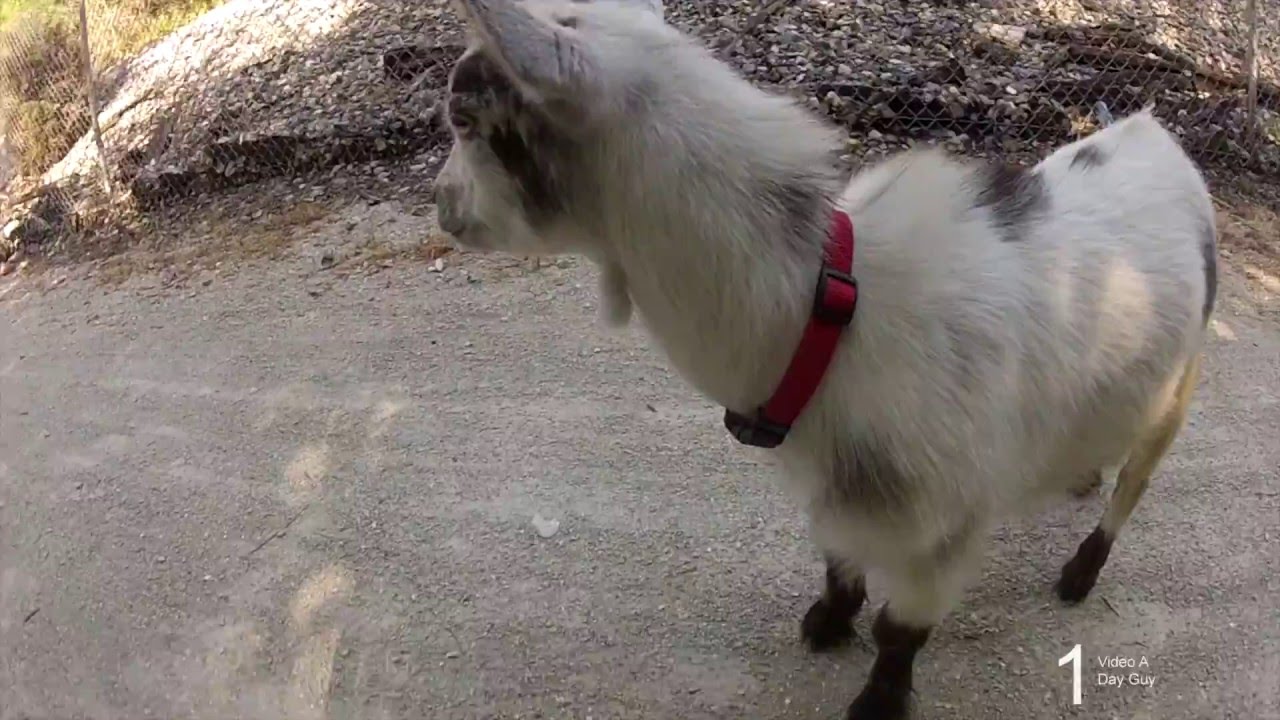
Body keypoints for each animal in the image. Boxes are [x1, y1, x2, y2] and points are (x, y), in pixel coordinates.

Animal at [433, 1, 1218, 717]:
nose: (440, 202)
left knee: (1134, 485)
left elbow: (900, 629)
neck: (823, 310)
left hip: (1178, 388)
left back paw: (1080, 574)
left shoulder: (945, 526)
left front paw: (877, 703)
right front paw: (827, 623)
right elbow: (838, 563)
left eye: (465, 119)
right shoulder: (826, 481)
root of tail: (1153, 130)